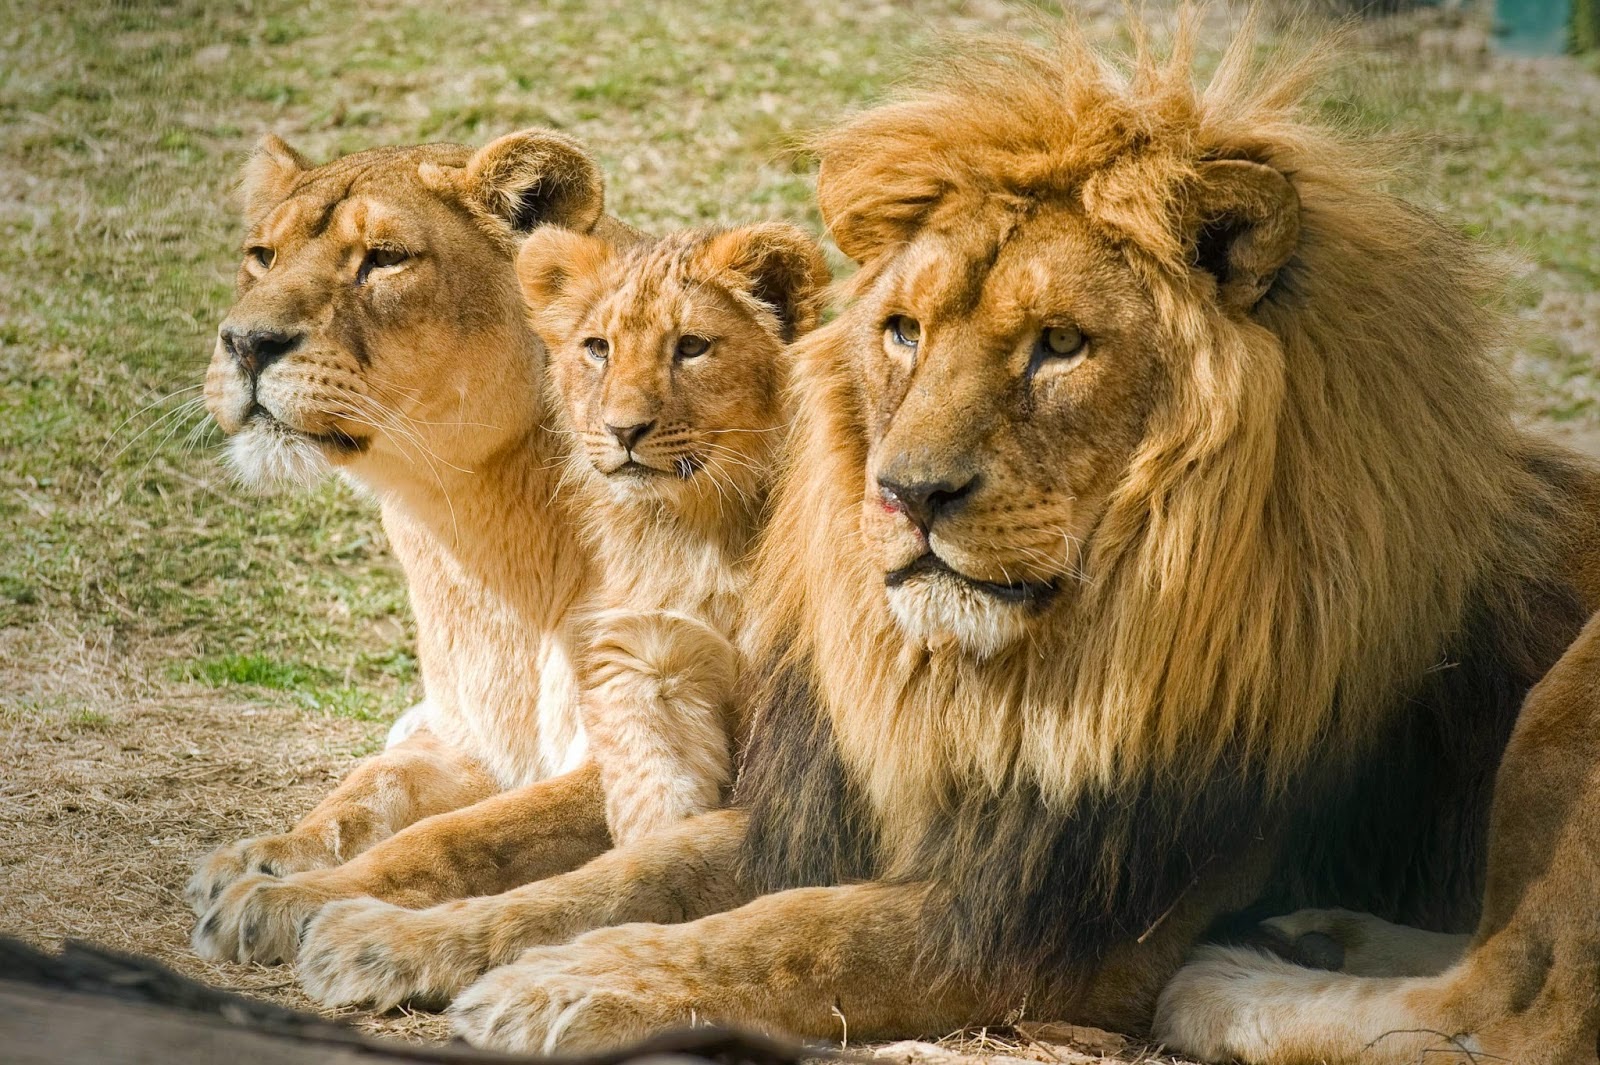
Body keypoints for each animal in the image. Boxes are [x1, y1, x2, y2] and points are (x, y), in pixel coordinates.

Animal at [188, 128, 646, 965]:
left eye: (384, 258)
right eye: (261, 256)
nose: (244, 342)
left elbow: (458, 837)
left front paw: (289, 898)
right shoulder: (473, 735)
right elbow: (370, 786)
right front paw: (266, 853)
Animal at [280, 20, 1599, 1060]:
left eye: (1060, 345)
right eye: (904, 330)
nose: (905, 494)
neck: (996, 678)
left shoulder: (1058, 919)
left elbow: (799, 936)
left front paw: (563, 986)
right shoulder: (821, 811)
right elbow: (624, 873)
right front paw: (384, 932)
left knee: (1511, 1008)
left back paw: (1232, 984)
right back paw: (1320, 936)